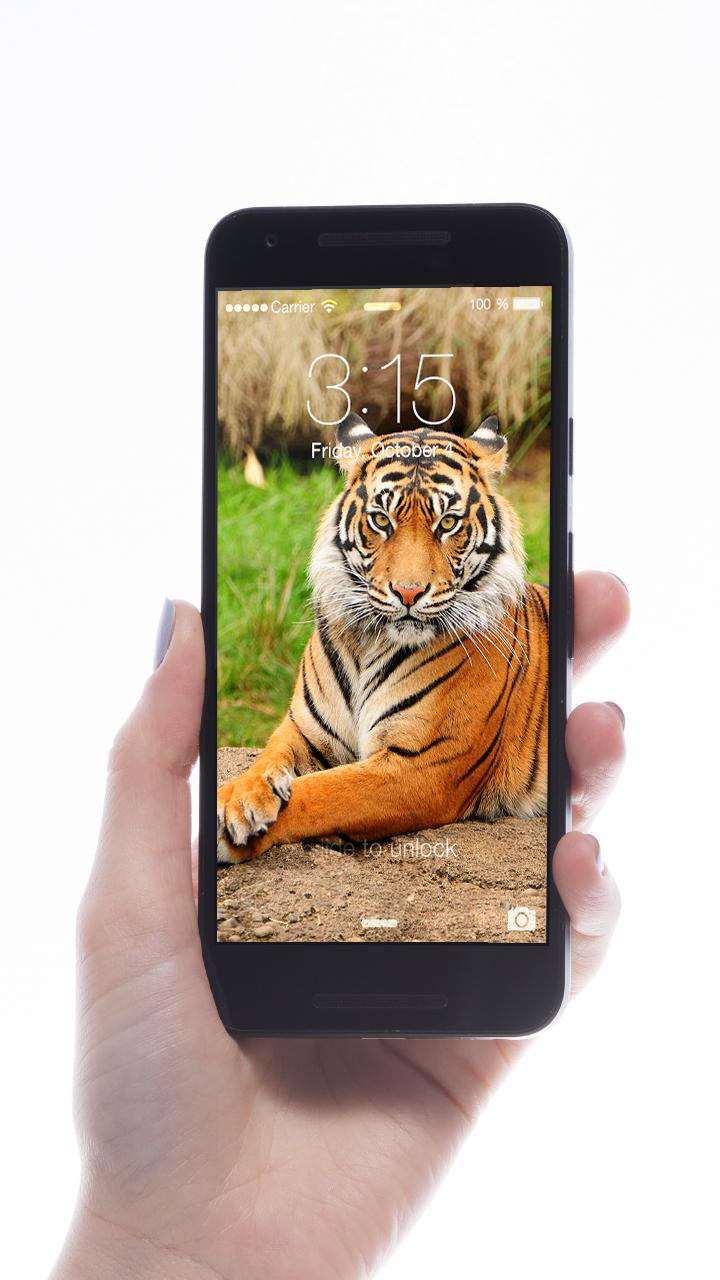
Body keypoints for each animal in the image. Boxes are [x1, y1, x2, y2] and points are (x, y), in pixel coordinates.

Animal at [217, 412, 549, 863]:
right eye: (381, 520)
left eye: (448, 523)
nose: (408, 593)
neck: (368, 643)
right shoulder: (304, 730)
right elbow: (267, 759)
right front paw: (241, 799)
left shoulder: (423, 766)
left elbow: (322, 793)